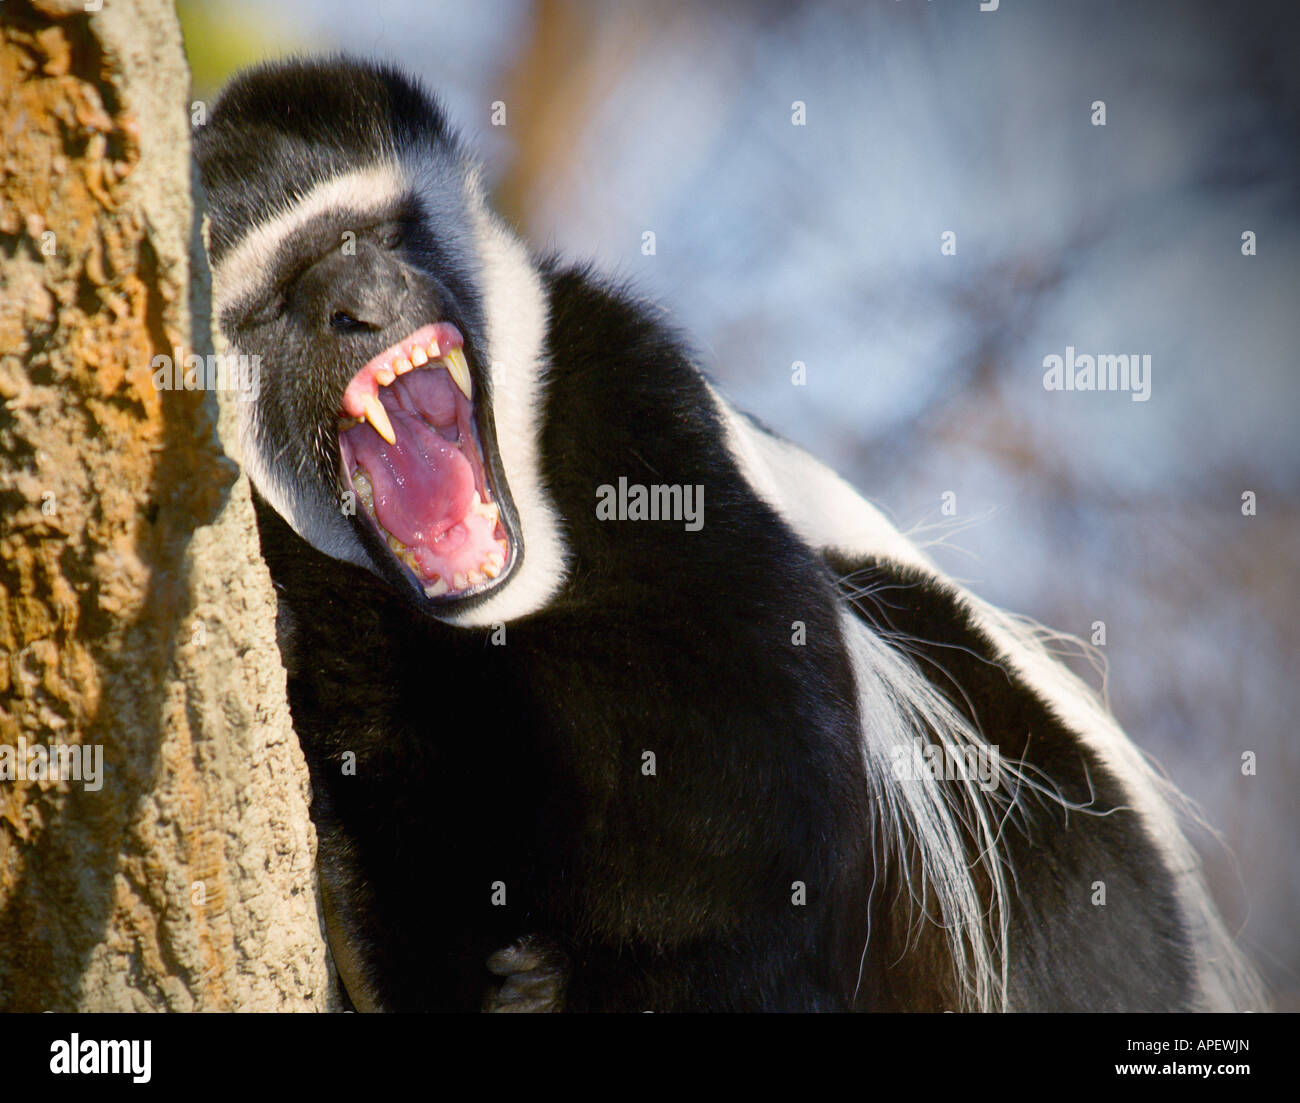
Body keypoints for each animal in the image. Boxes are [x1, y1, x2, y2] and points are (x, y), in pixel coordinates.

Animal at [193, 56, 1265, 1012]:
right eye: (271, 305)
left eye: (382, 232)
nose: (363, 302)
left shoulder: (630, 383)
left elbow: (736, 755)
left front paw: (319, 603)